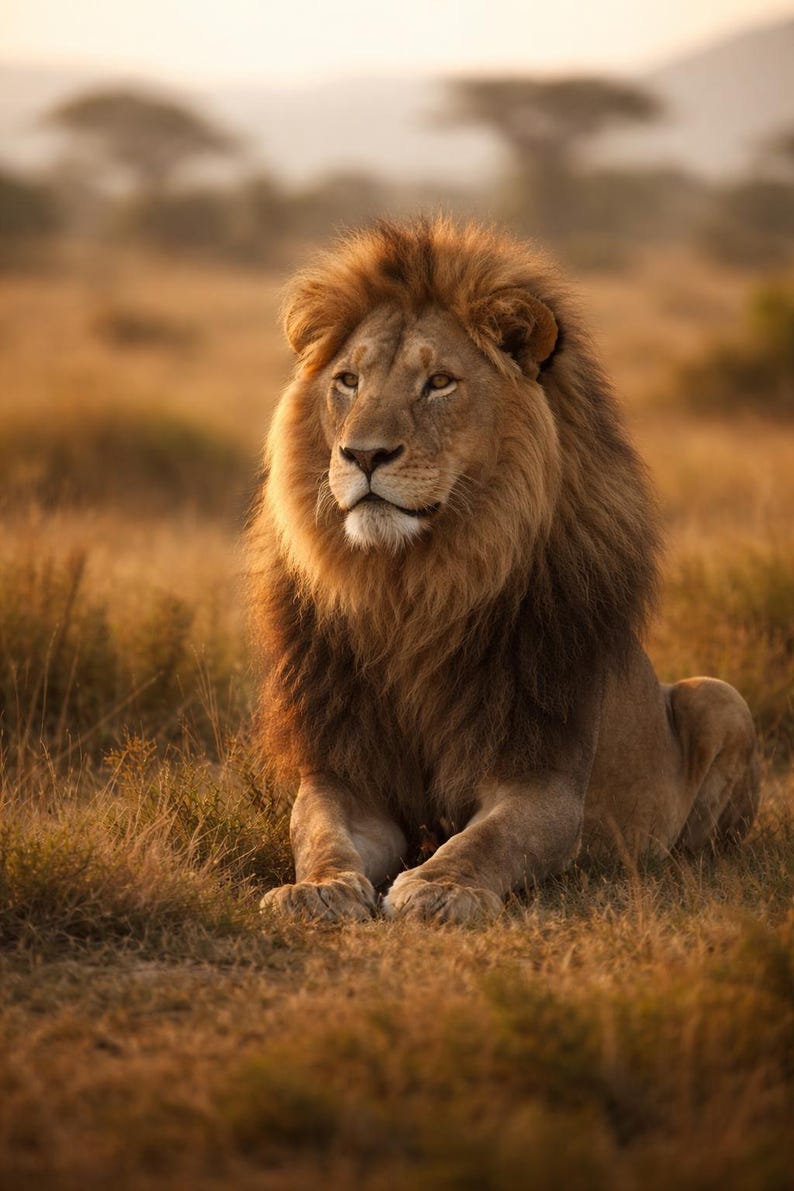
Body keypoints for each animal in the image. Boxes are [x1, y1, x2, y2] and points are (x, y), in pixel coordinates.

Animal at [247, 216, 760, 924]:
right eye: (348, 380)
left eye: (439, 383)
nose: (363, 454)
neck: (413, 590)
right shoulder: (345, 771)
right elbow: (321, 833)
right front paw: (317, 890)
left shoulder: (544, 779)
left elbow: (488, 839)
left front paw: (439, 888)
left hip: (719, 696)